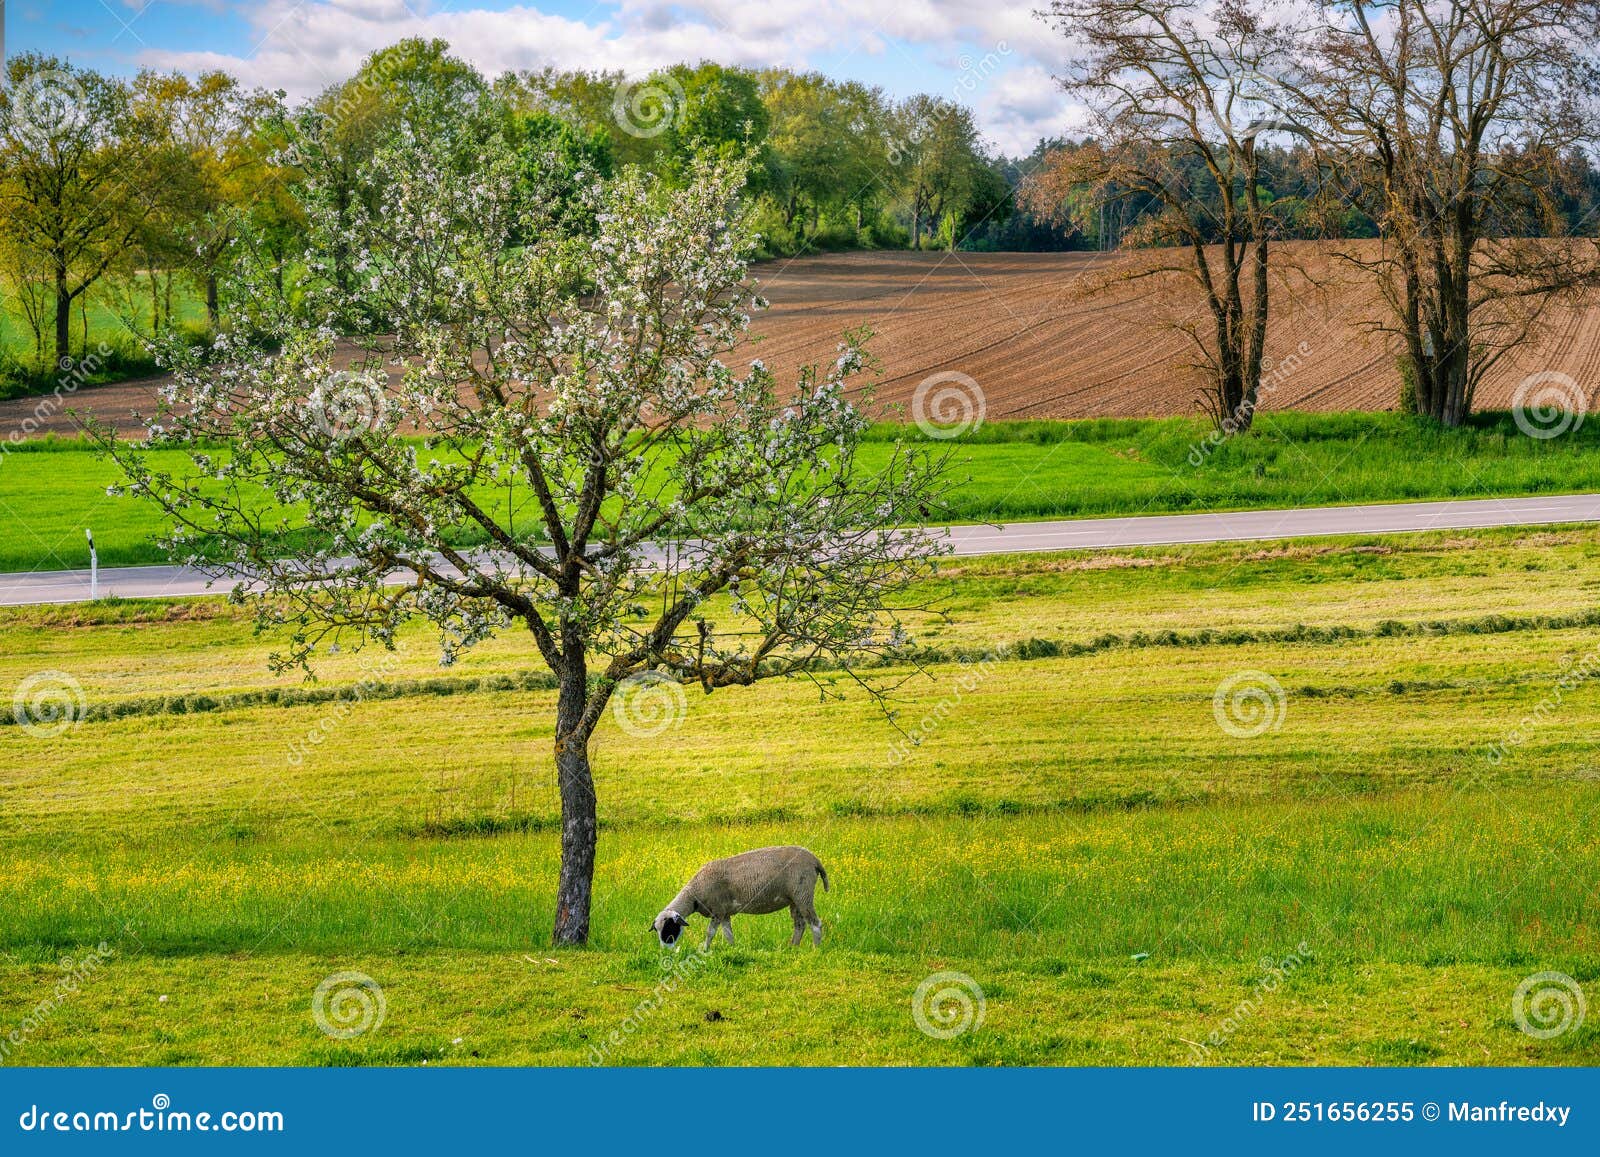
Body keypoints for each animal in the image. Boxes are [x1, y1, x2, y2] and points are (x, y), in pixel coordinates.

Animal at [652, 845, 829, 950]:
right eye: (657, 930)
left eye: (669, 928)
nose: (664, 951)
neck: (695, 892)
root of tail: (815, 861)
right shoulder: (724, 913)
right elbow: (728, 933)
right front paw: (733, 949)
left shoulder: (718, 910)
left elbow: (710, 932)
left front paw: (705, 949)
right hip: (795, 899)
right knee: (800, 924)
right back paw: (793, 948)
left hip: (803, 893)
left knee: (815, 923)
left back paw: (816, 949)